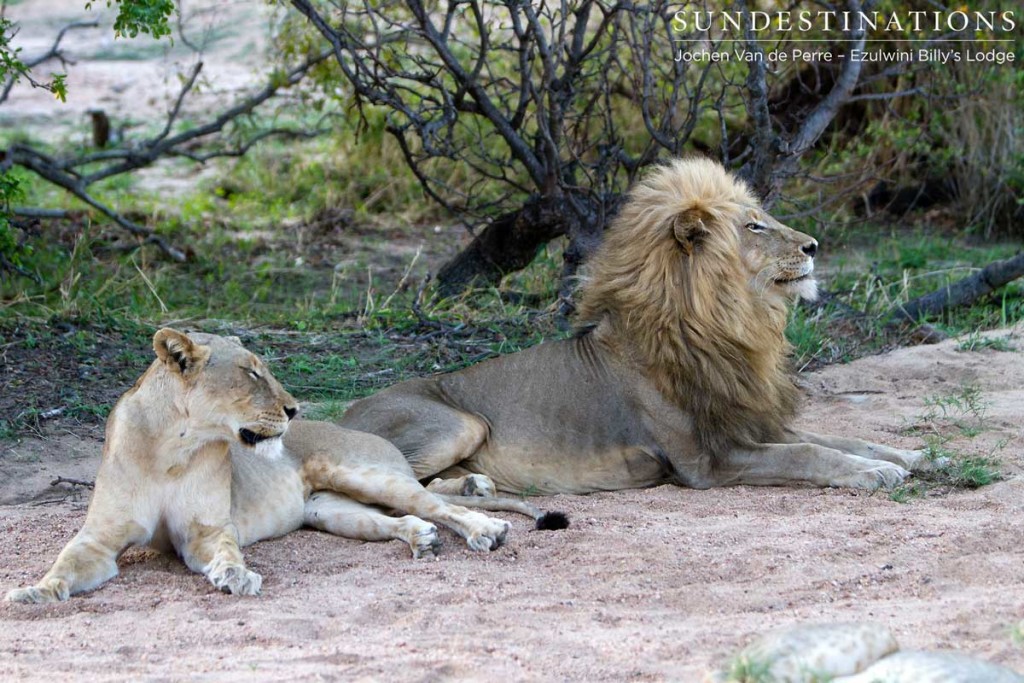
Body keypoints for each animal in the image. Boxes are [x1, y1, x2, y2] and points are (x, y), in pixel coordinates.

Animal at [7, 329, 565, 604]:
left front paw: (236, 577)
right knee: (404, 518)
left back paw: (485, 529)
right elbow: (65, 564)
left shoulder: (206, 533)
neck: (173, 448)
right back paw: (421, 540)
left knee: (436, 503)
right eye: (252, 373)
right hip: (331, 510)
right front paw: (35, 593)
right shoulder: (99, 539)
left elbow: (226, 553)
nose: (295, 409)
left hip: (365, 474)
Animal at [339, 158, 928, 496]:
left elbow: (841, 436)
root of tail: (341, 412)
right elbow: (808, 452)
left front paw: (912, 455)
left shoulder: (747, 422)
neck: (732, 322)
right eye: (754, 226)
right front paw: (873, 474)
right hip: (460, 424)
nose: (812, 246)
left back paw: (474, 487)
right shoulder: (708, 461)